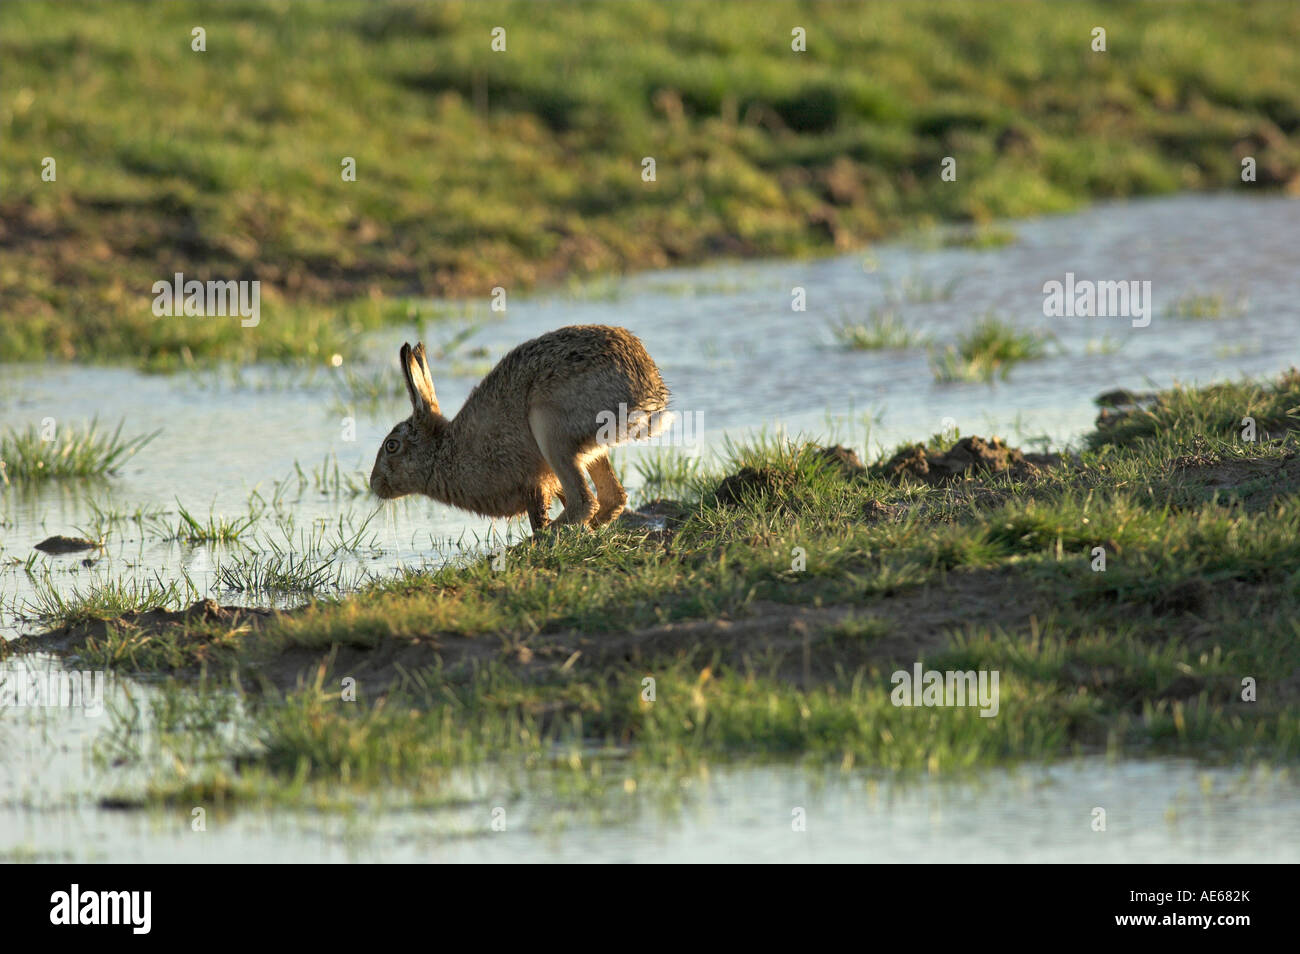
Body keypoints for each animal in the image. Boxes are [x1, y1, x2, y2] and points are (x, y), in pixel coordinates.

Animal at [369, 324, 672, 531]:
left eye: (392, 445)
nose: (374, 484)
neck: (442, 451)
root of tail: (647, 390)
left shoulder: (530, 481)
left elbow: (539, 515)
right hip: (588, 448)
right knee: (612, 496)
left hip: (548, 428)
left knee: (584, 501)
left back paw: (538, 541)